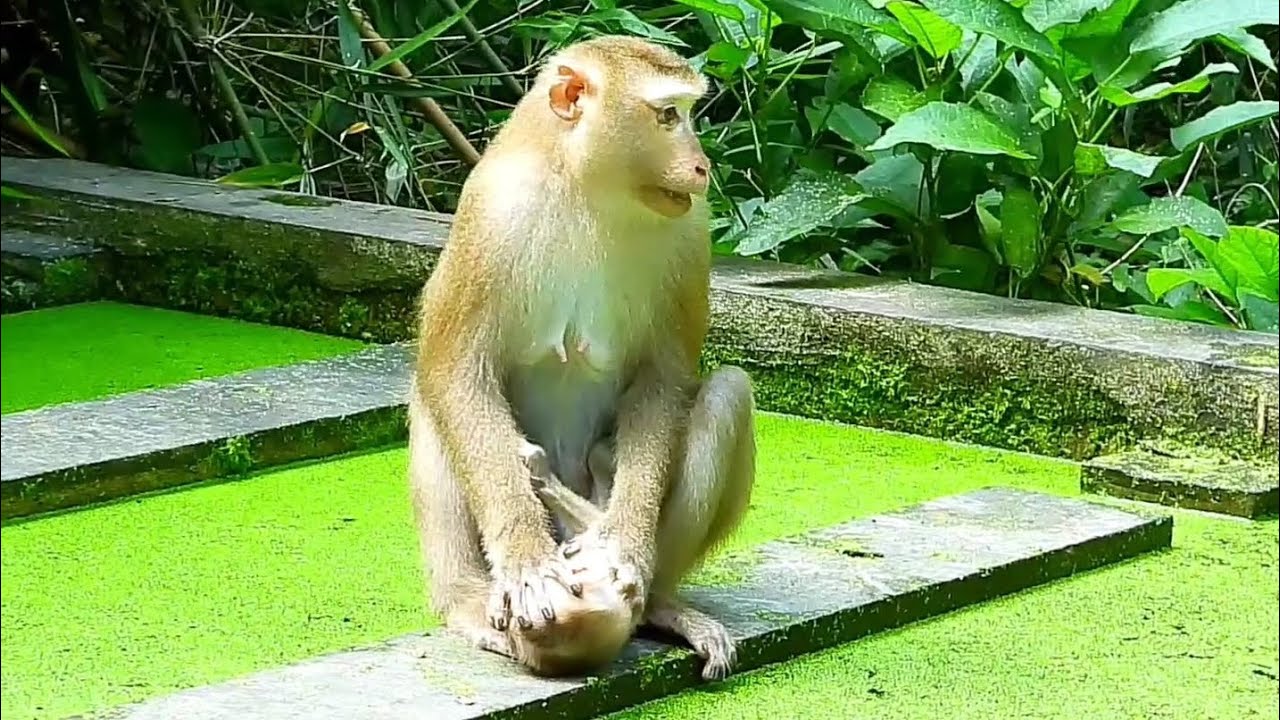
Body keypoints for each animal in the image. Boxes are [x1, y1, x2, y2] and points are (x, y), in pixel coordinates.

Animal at [407, 34, 757, 678]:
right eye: (668, 116)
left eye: (687, 113)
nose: (702, 166)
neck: (585, 189)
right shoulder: (488, 211)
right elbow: (457, 371)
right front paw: (526, 562)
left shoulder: (691, 228)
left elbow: (664, 378)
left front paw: (625, 546)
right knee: (431, 399)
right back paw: (467, 598)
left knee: (728, 393)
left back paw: (656, 599)